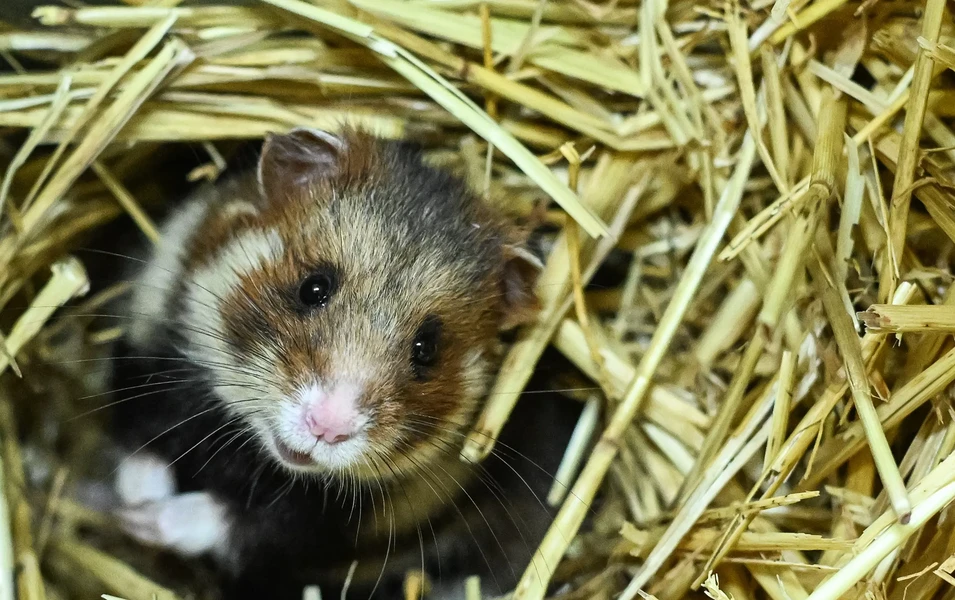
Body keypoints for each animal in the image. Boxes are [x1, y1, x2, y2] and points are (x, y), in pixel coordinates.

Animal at [106, 128, 581, 599]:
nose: (327, 427)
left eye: (427, 348)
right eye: (313, 287)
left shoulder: (324, 524)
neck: (258, 455)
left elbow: (231, 524)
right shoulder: (149, 344)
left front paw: (143, 522)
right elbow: (139, 440)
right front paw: (134, 507)